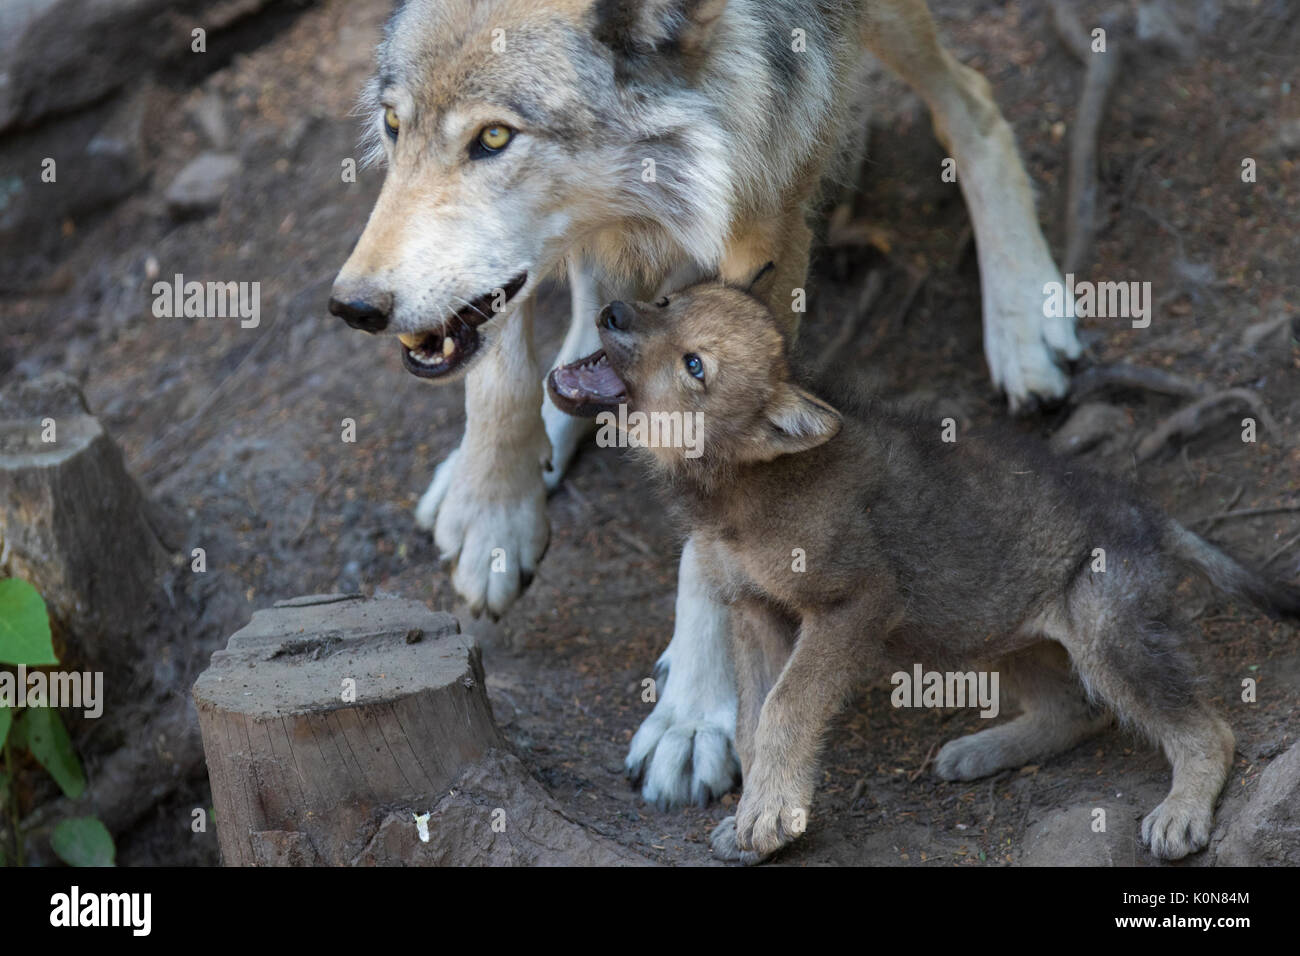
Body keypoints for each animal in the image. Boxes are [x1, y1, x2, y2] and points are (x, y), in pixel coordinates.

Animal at [330, 0, 1083, 811]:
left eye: (493, 138)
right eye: (393, 124)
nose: (354, 308)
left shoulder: (767, 218)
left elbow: (719, 485)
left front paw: (694, 714)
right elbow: (501, 364)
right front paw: (494, 516)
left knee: (972, 100)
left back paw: (1024, 317)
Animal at [546, 275, 1300, 863]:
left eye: (695, 366)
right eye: (665, 301)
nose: (614, 311)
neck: (742, 490)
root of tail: (1148, 513)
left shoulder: (855, 604)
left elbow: (786, 706)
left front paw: (769, 817)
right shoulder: (757, 610)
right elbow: (753, 722)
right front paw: (756, 816)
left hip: (1101, 633)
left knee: (1207, 729)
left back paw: (1180, 814)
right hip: (992, 628)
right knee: (1079, 710)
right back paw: (980, 752)